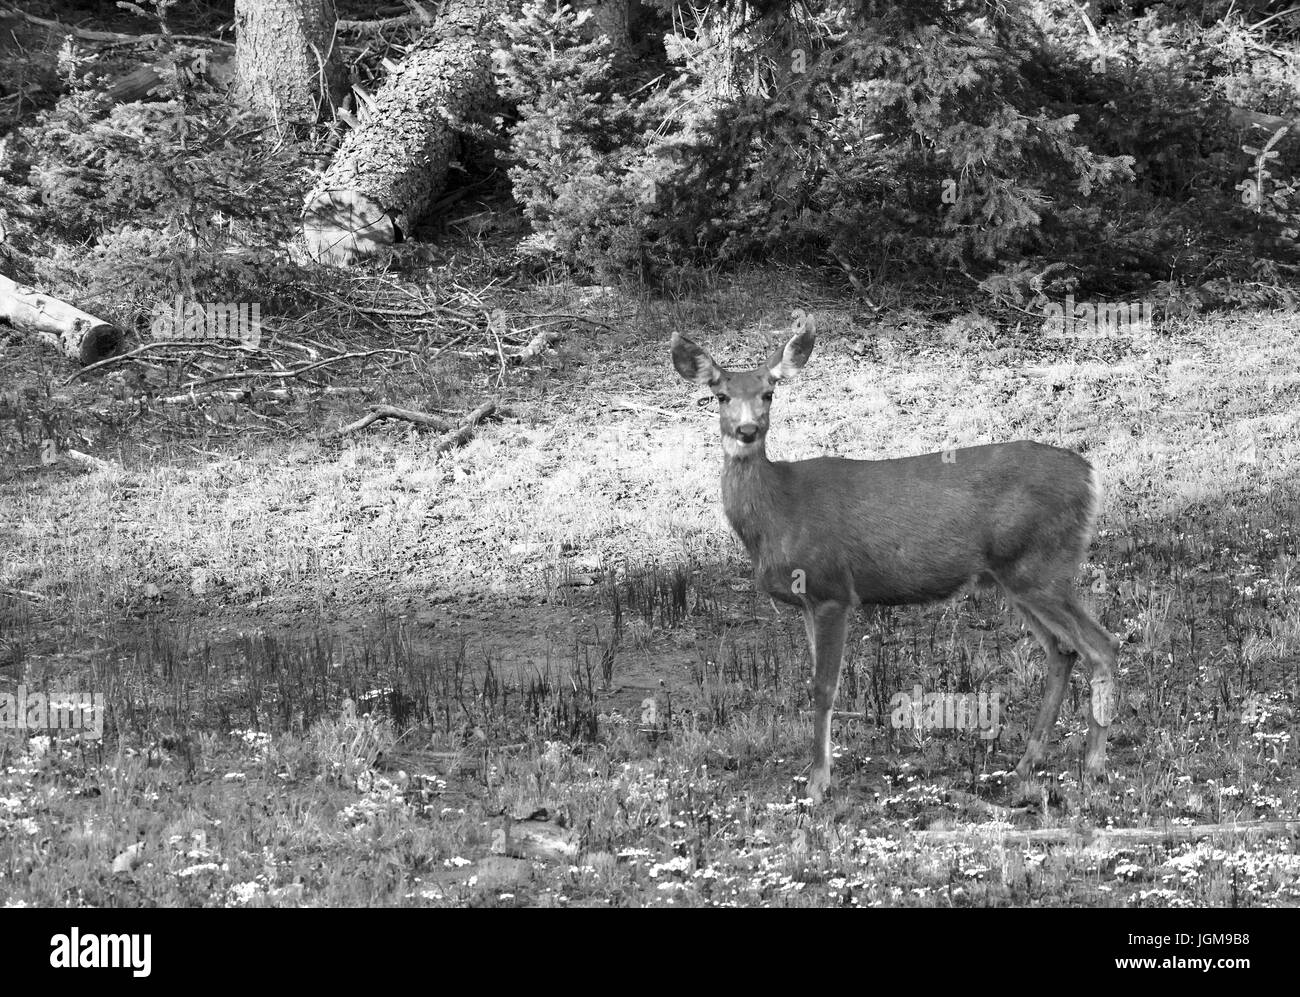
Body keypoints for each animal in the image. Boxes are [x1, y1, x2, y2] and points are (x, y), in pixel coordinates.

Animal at [671, 309, 1118, 802]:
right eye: (721, 395)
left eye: (769, 392)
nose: (747, 431)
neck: (778, 513)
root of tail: (1091, 475)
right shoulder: (809, 600)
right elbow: (816, 682)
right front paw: (819, 770)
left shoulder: (833, 590)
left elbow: (823, 687)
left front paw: (818, 783)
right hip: (1016, 575)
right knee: (1063, 651)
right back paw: (1026, 762)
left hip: (1042, 565)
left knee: (1102, 646)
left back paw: (1094, 767)